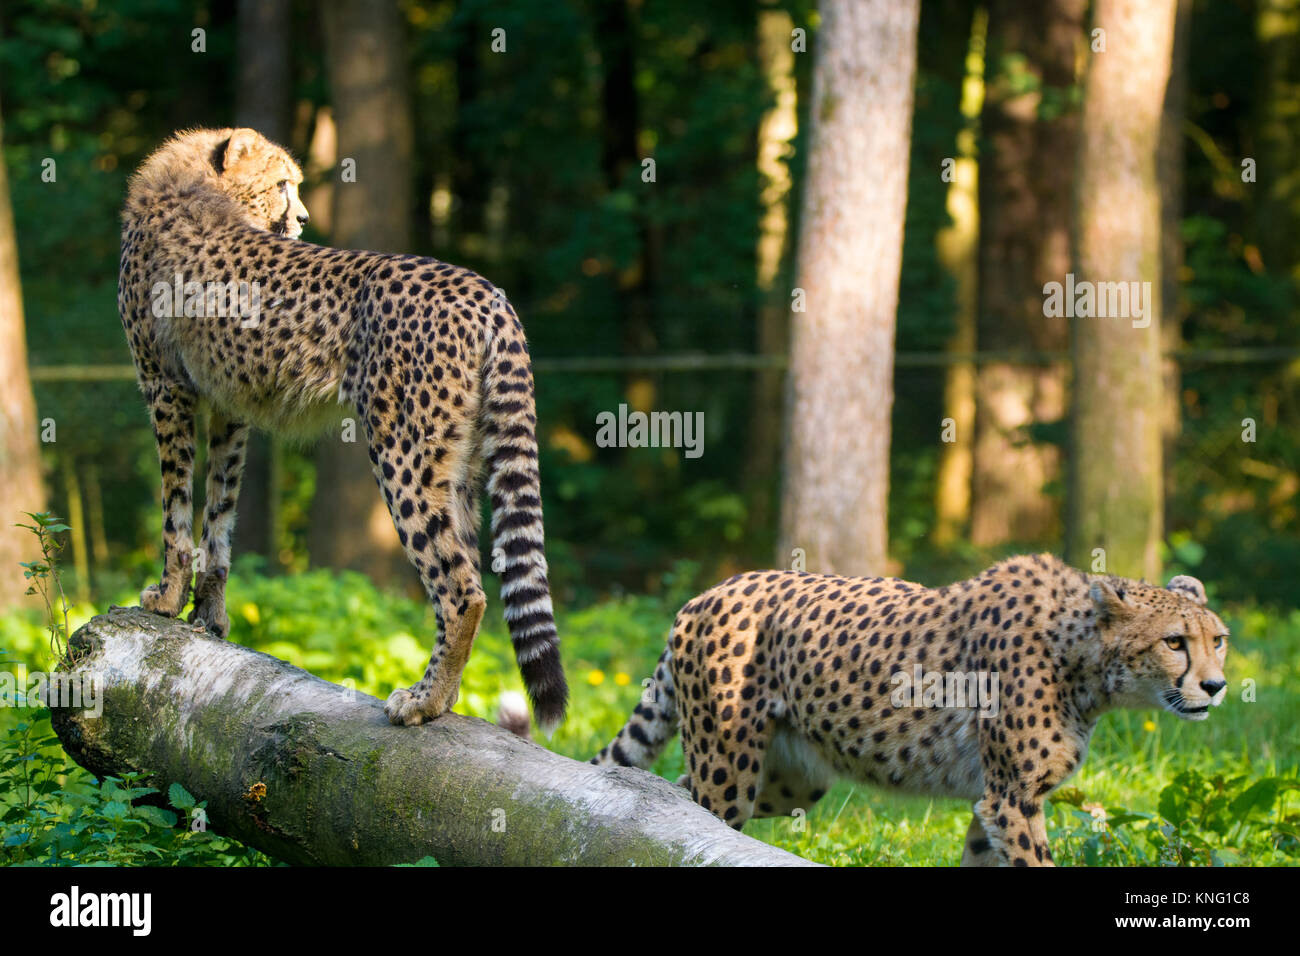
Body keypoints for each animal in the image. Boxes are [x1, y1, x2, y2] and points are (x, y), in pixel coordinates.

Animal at [117, 127, 568, 731]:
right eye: (281, 184)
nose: (304, 219)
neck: (195, 188)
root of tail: (483, 289)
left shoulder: (166, 388)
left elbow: (175, 510)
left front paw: (165, 599)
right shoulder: (228, 409)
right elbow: (218, 517)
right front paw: (208, 618)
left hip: (402, 452)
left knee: (461, 588)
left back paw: (422, 702)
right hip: (459, 463)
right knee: (469, 567)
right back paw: (444, 697)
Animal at [593, 553, 1229, 865]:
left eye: (1218, 639)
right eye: (1175, 642)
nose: (1218, 686)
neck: (1087, 662)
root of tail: (707, 592)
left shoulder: (993, 801)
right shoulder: (1012, 798)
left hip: (793, 777)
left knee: (678, 793)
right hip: (729, 768)